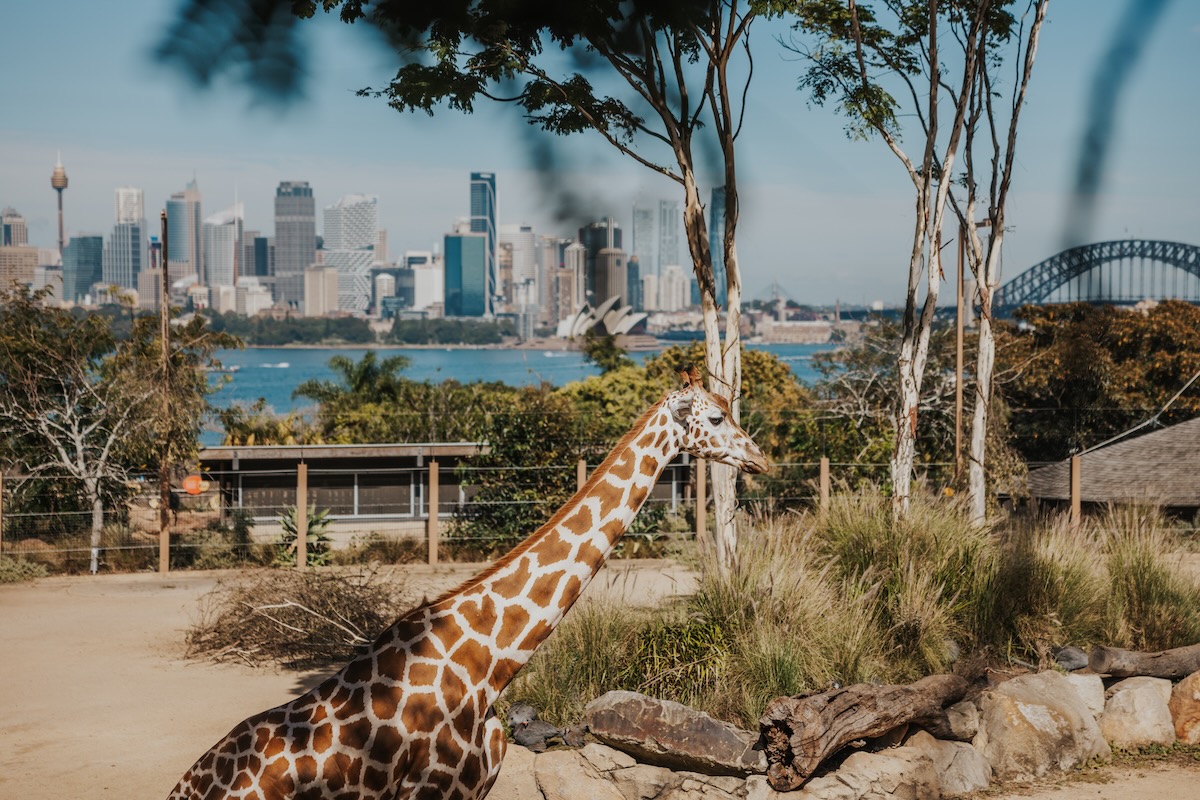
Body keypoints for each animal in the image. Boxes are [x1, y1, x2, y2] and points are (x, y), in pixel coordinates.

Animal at [169, 367, 768, 800]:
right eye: (717, 417)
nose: (760, 457)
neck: (491, 663)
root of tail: (183, 789)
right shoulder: (433, 789)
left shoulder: (473, 786)